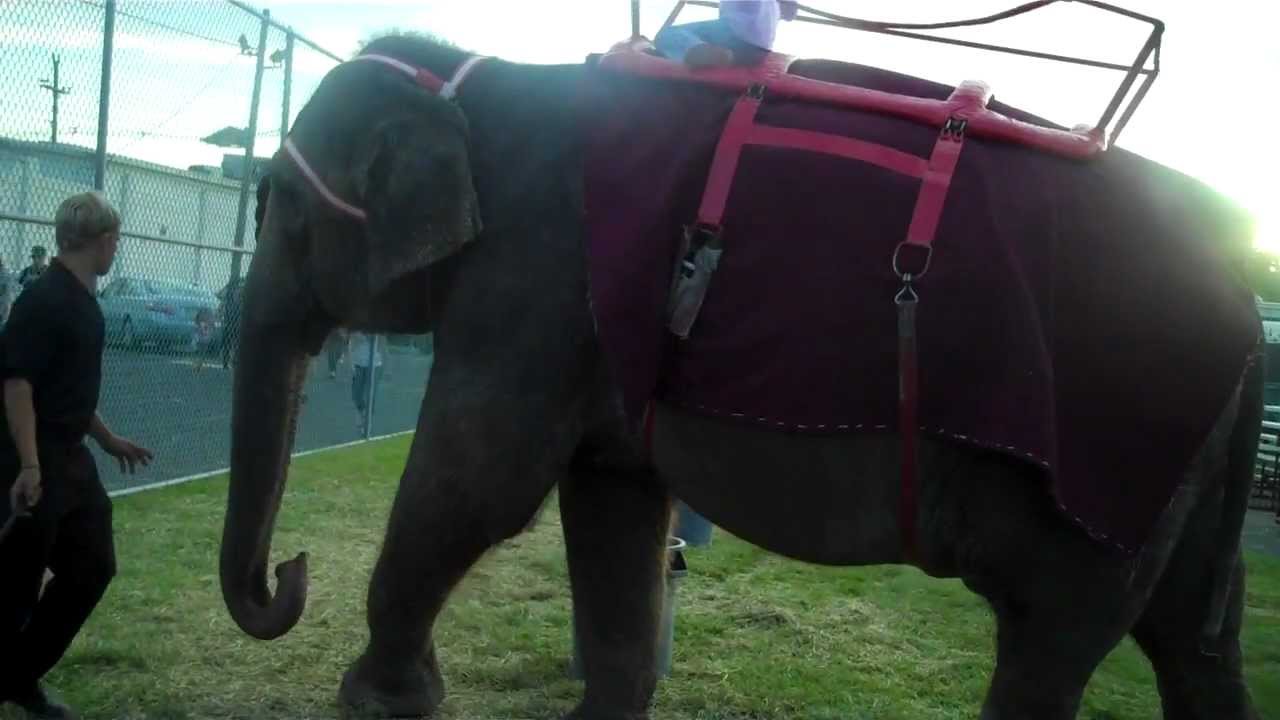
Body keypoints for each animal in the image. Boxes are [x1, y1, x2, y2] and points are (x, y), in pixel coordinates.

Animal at [218, 32, 1265, 720]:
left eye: (278, 205)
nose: (292, 568)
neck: (485, 78)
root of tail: (1252, 311)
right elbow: (610, 502)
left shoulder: (536, 283)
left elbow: (474, 485)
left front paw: (378, 702)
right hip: (1186, 483)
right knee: (1193, 644)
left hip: (1115, 470)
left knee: (1050, 642)